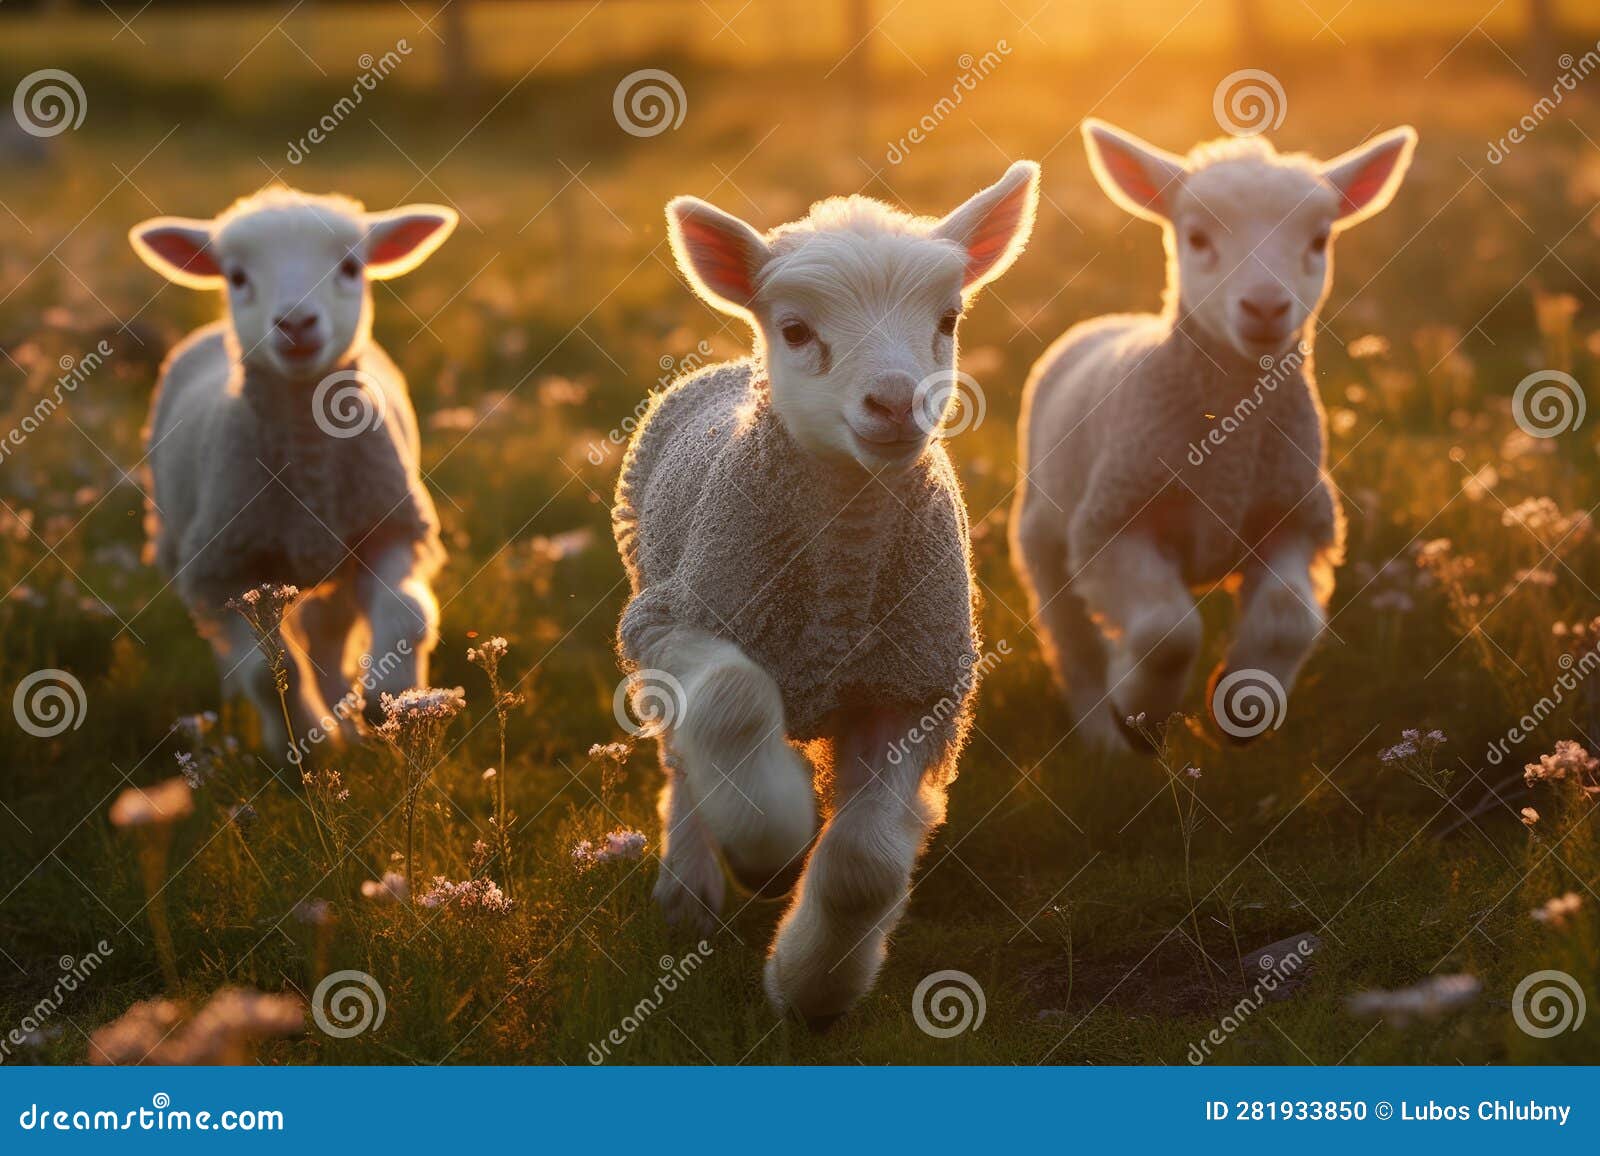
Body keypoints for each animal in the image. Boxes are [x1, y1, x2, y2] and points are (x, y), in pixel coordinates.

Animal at [129, 188, 457, 763]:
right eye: (236, 276)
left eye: (351, 267)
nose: (297, 324)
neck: (308, 473)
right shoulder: (224, 570)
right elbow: (265, 671)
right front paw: (308, 741)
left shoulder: (392, 526)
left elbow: (408, 613)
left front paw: (395, 700)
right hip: (185, 550)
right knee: (240, 654)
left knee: (330, 637)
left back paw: (351, 714)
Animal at [613, 162, 1039, 1021]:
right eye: (797, 331)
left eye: (948, 318)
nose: (895, 402)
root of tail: (728, 368)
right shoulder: (676, 618)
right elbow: (733, 701)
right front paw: (768, 846)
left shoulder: (916, 684)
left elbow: (863, 867)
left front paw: (810, 990)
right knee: (684, 755)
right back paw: (690, 886)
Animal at [1012, 120, 1416, 752]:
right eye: (1197, 238)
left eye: (1320, 239)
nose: (1266, 307)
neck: (1227, 444)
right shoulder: (1109, 524)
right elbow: (1167, 632)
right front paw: (1140, 711)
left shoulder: (1299, 515)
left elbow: (1287, 616)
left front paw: (1245, 701)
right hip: (1045, 538)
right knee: (1074, 645)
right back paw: (1103, 738)